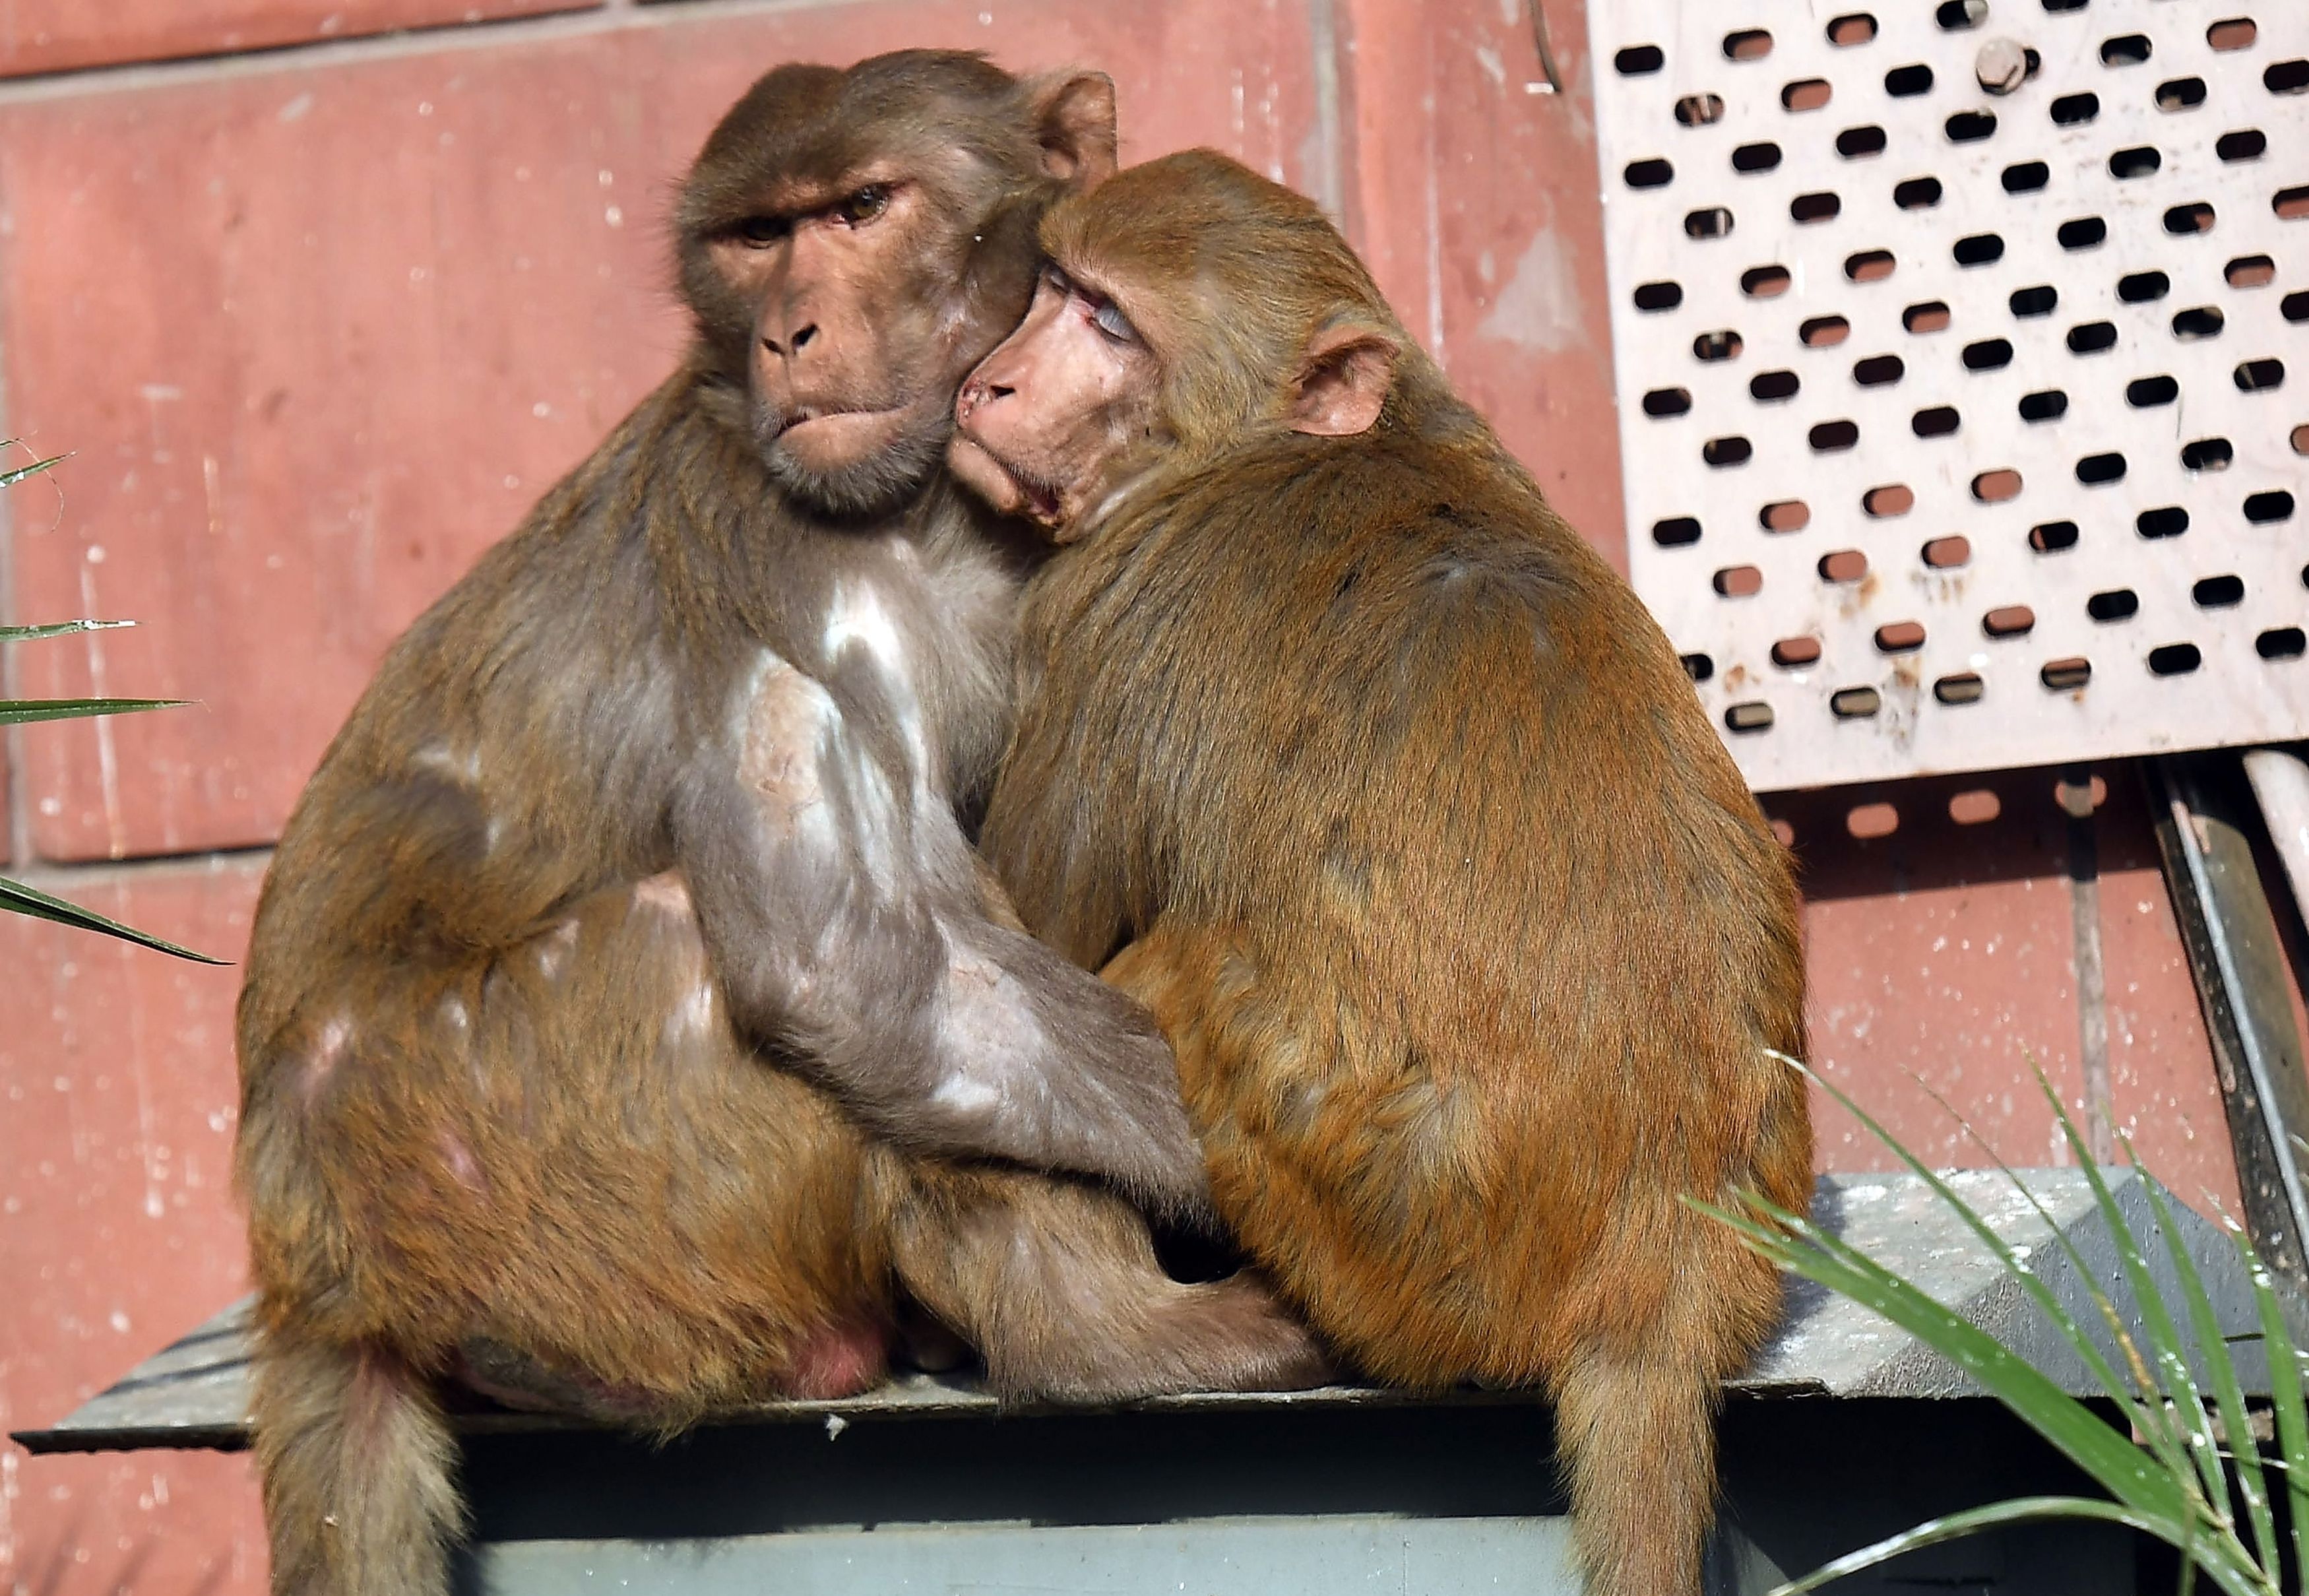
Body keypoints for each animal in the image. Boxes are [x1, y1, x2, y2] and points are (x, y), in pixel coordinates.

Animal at [234, 65, 1328, 1596]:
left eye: (861, 209)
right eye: (757, 238)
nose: (786, 330)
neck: (932, 504)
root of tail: (306, 1259)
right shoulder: (780, 553)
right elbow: (854, 958)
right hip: (467, 1148)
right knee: (731, 950)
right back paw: (1097, 1335)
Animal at [948, 148, 1815, 1596]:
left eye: (1109, 322)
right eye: (1054, 287)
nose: (989, 381)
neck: (1287, 444)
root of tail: (1662, 1268)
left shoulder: (1101, 606)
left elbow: (1033, 950)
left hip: (1371, 1204)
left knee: (1177, 969)